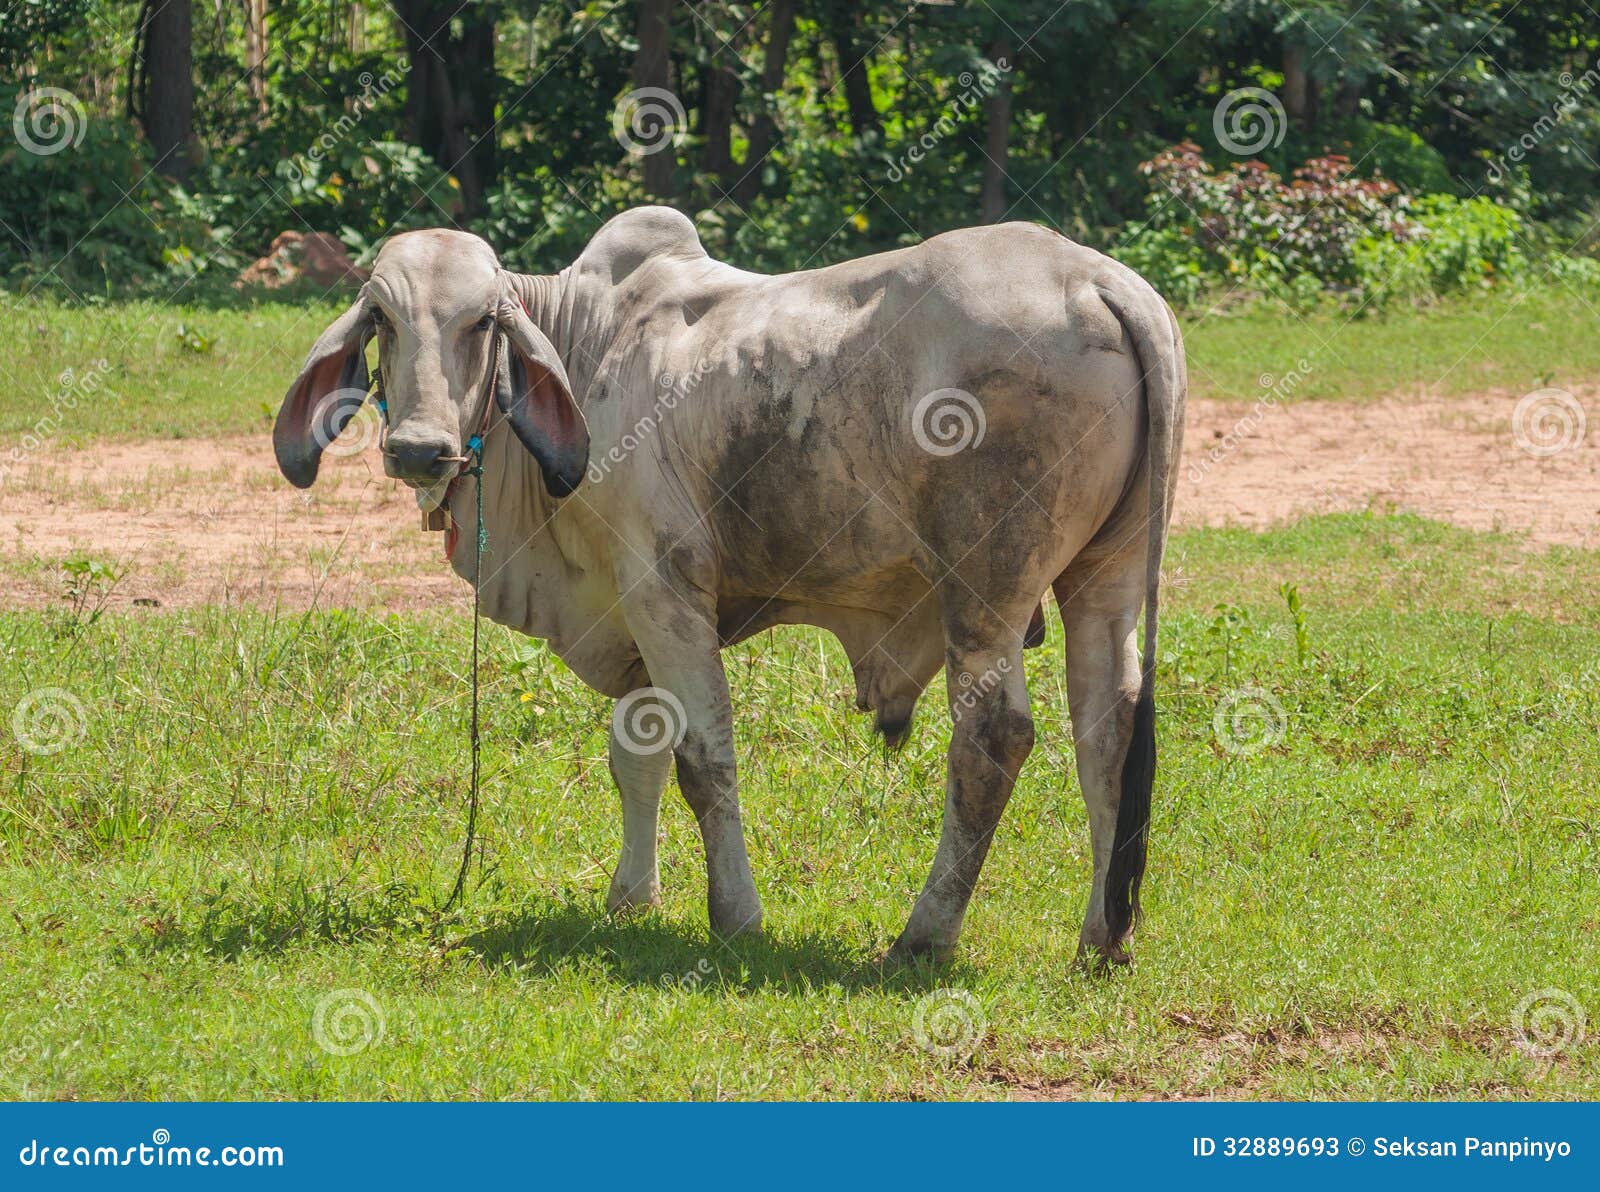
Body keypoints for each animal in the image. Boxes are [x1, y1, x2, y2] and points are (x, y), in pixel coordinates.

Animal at [273, 207, 1185, 966]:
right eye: (383, 319)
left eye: (483, 321)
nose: (418, 449)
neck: (586, 341)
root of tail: (1100, 278)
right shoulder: (628, 603)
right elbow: (634, 754)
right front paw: (631, 899)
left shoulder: (664, 588)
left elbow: (702, 758)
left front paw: (735, 916)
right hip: (1105, 577)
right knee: (1107, 728)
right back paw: (1102, 939)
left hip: (986, 589)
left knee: (994, 740)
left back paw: (923, 937)